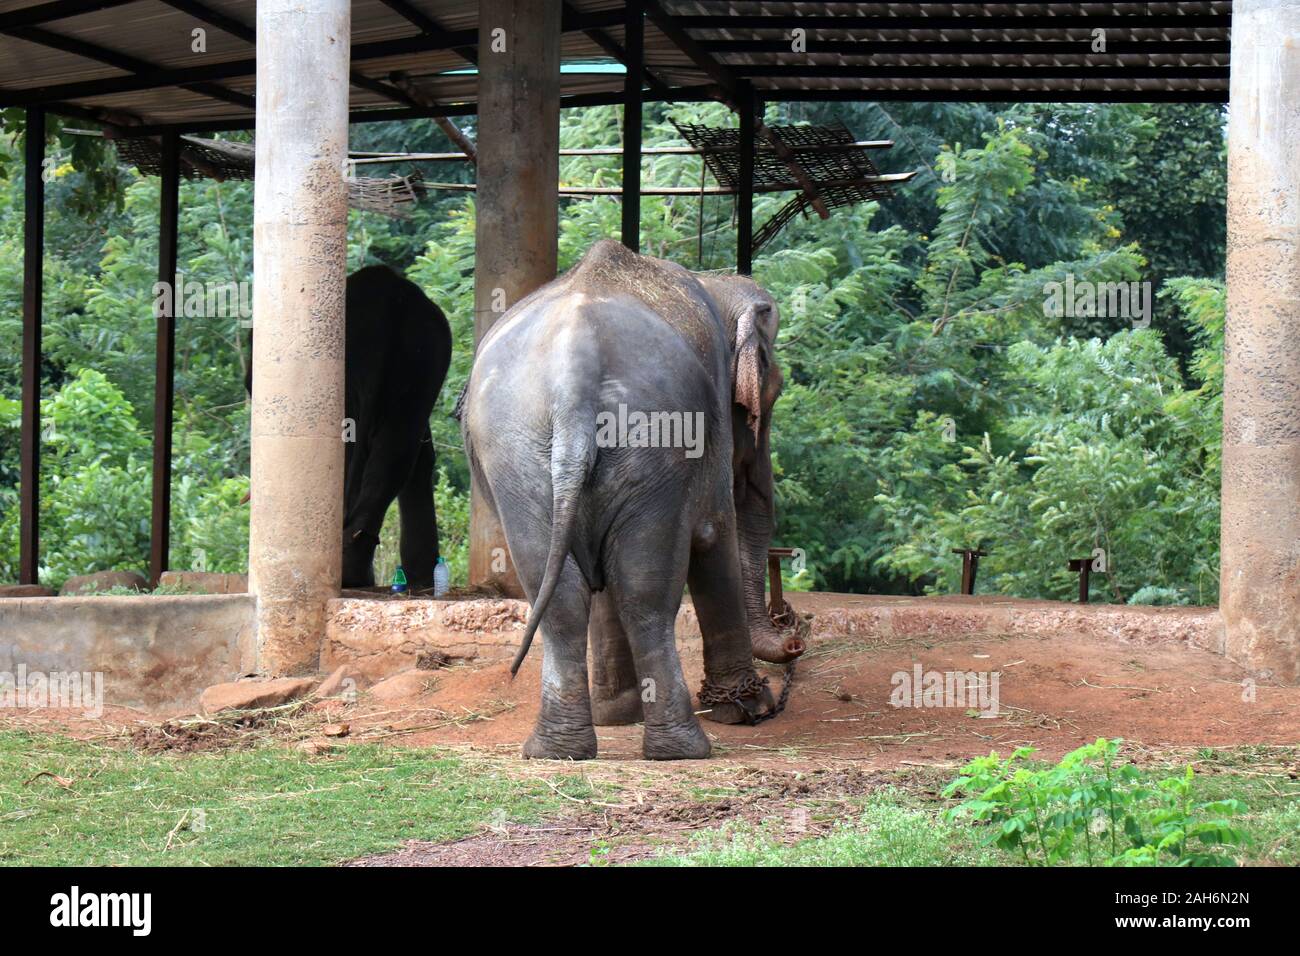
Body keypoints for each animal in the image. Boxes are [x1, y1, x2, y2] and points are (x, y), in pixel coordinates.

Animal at [462, 239, 805, 761]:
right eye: (775, 392)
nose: (794, 638)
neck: (712, 282)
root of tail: (573, 374)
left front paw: (618, 713)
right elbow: (714, 537)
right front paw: (747, 708)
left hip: (520, 457)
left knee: (563, 592)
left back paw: (557, 749)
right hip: (655, 440)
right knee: (646, 593)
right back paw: (684, 749)